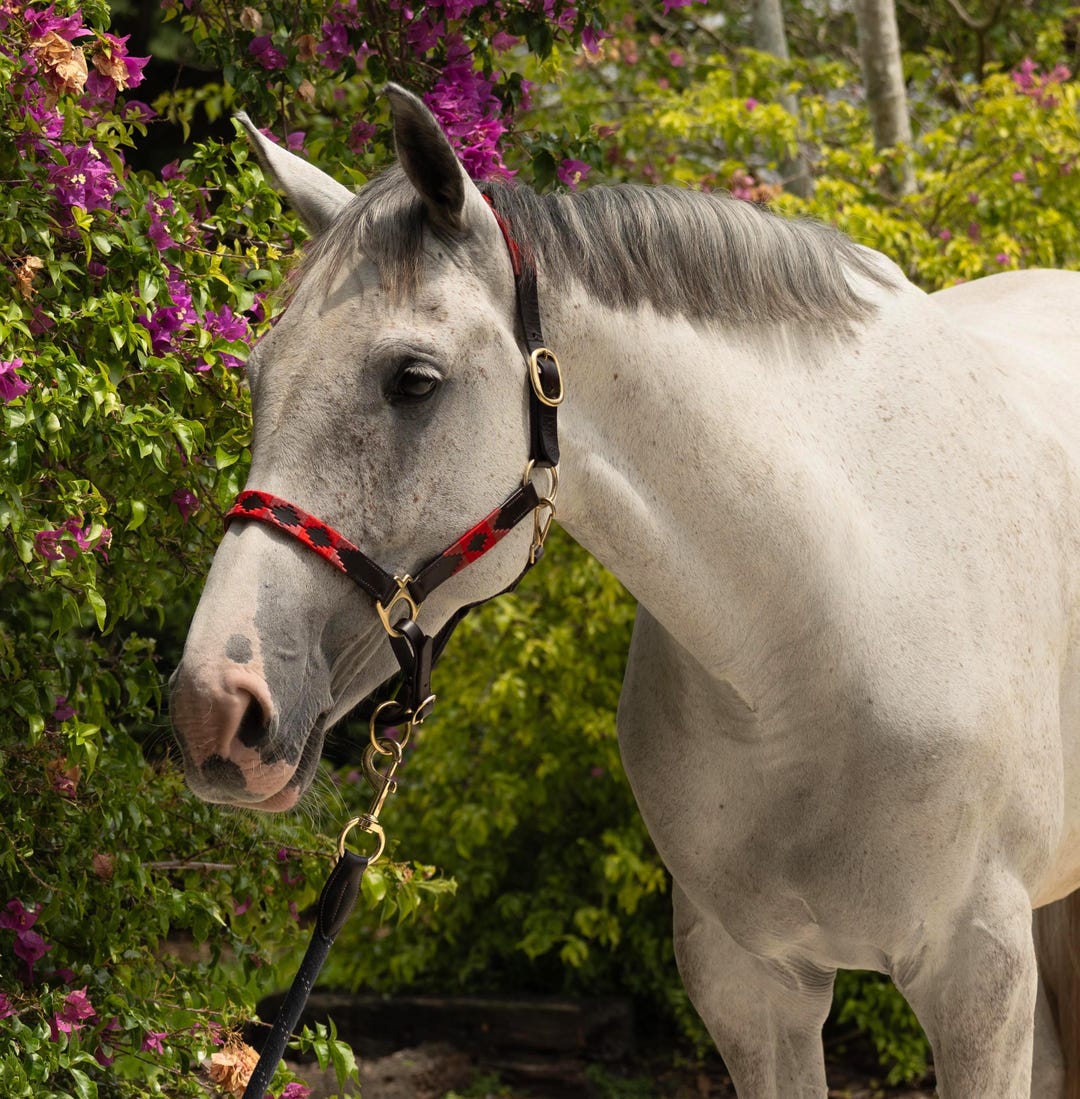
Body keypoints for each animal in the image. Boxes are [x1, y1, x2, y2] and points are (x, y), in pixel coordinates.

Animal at [170, 85, 1080, 1098]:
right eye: (257, 374)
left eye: (413, 379)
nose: (215, 707)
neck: (818, 634)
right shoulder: (750, 985)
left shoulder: (977, 978)